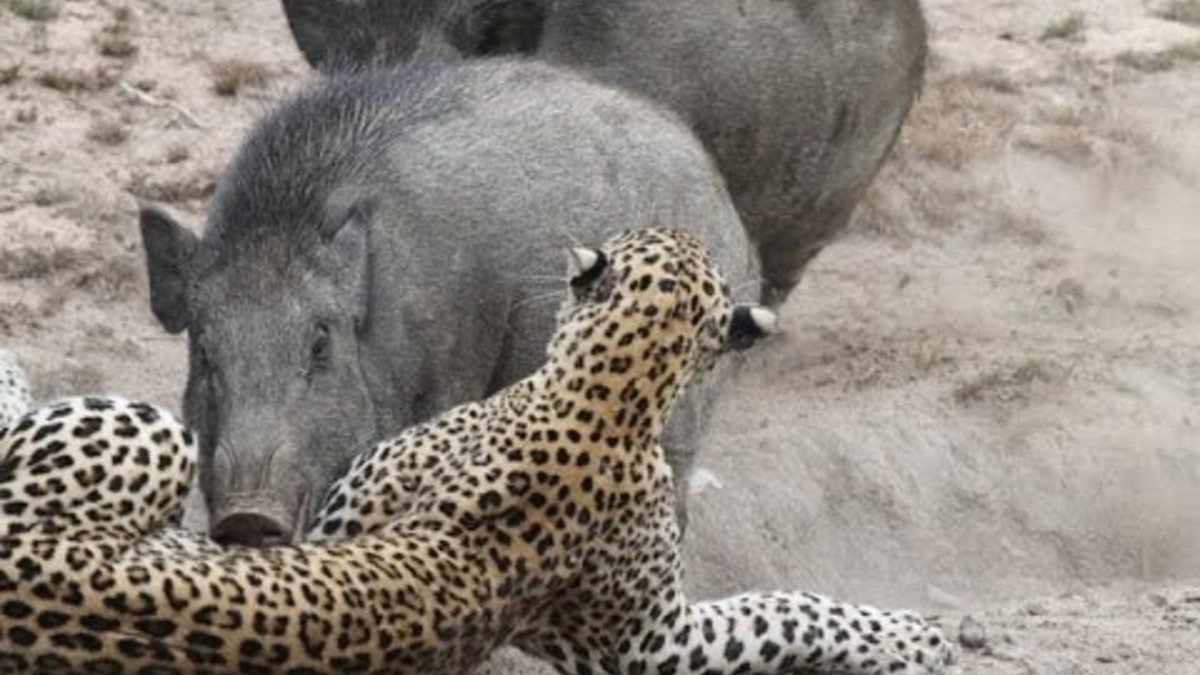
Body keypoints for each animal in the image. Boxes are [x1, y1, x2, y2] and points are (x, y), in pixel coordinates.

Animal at [141, 59, 756, 546]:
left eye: (320, 342)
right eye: (204, 351)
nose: (247, 517)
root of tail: (730, 214)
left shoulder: (455, 366)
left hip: (683, 413)